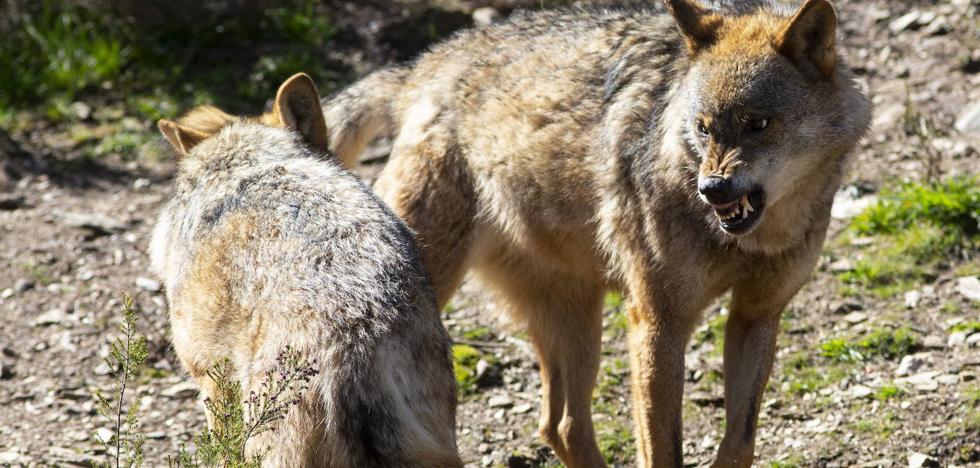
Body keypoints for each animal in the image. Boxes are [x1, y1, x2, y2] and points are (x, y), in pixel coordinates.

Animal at [321, 0, 870, 465]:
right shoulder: (657, 321)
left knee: (558, 426)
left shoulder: (757, 314)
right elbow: (663, 449)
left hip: (578, 316)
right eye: (703, 127)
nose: (712, 190)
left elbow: (740, 441)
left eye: (759, 124)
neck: (749, 239)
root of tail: (426, 65)